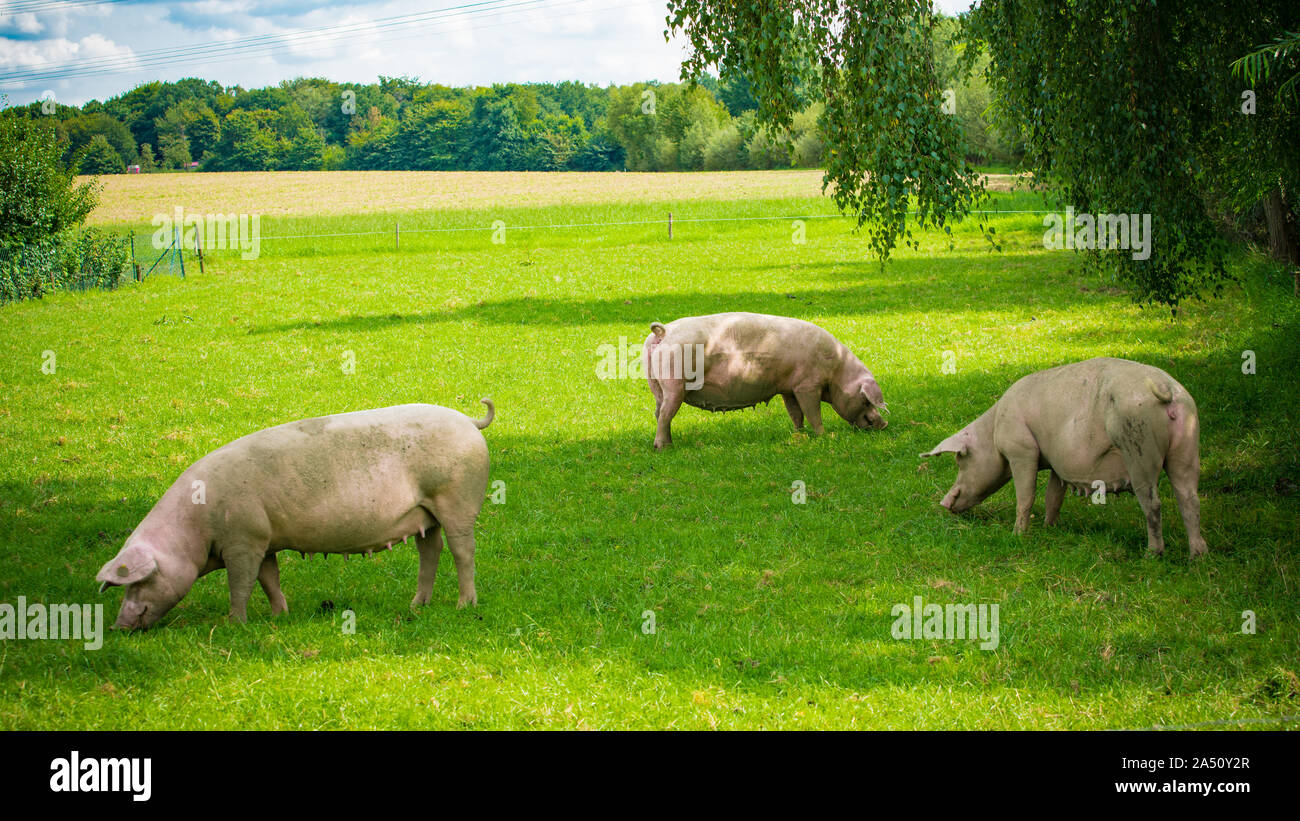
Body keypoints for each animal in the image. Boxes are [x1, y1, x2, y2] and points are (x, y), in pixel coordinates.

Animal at [95, 400, 494, 629]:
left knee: (463, 550)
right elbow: (269, 579)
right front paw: (279, 617)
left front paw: (235, 625)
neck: (195, 528)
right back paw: (416, 606)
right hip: (425, 514)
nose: (116, 627)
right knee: (431, 550)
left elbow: (240, 583)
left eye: (138, 582)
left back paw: (465, 605)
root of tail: (470, 422)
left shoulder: (243, 539)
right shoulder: (265, 540)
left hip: (456, 498)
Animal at [643, 312, 887, 449]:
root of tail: (664, 331)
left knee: (658, 412)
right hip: (674, 383)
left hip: (657, 386)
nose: (884, 424)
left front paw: (799, 434)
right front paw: (825, 435)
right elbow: (812, 412)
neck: (836, 370)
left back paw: (668, 443)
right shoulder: (807, 385)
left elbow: (795, 413)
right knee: (665, 414)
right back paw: (663, 447)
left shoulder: (789, 388)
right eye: (866, 400)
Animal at [921, 358, 1206, 557]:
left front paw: (1017, 535)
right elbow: (1053, 497)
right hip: (1187, 445)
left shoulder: (1021, 450)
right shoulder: (1056, 463)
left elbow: (1026, 496)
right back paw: (1197, 557)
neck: (993, 429)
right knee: (1189, 499)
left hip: (1139, 446)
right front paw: (1050, 528)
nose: (943, 503)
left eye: (960, 461)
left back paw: (1152, 554)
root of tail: (1166, 388)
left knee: (1154, 504)